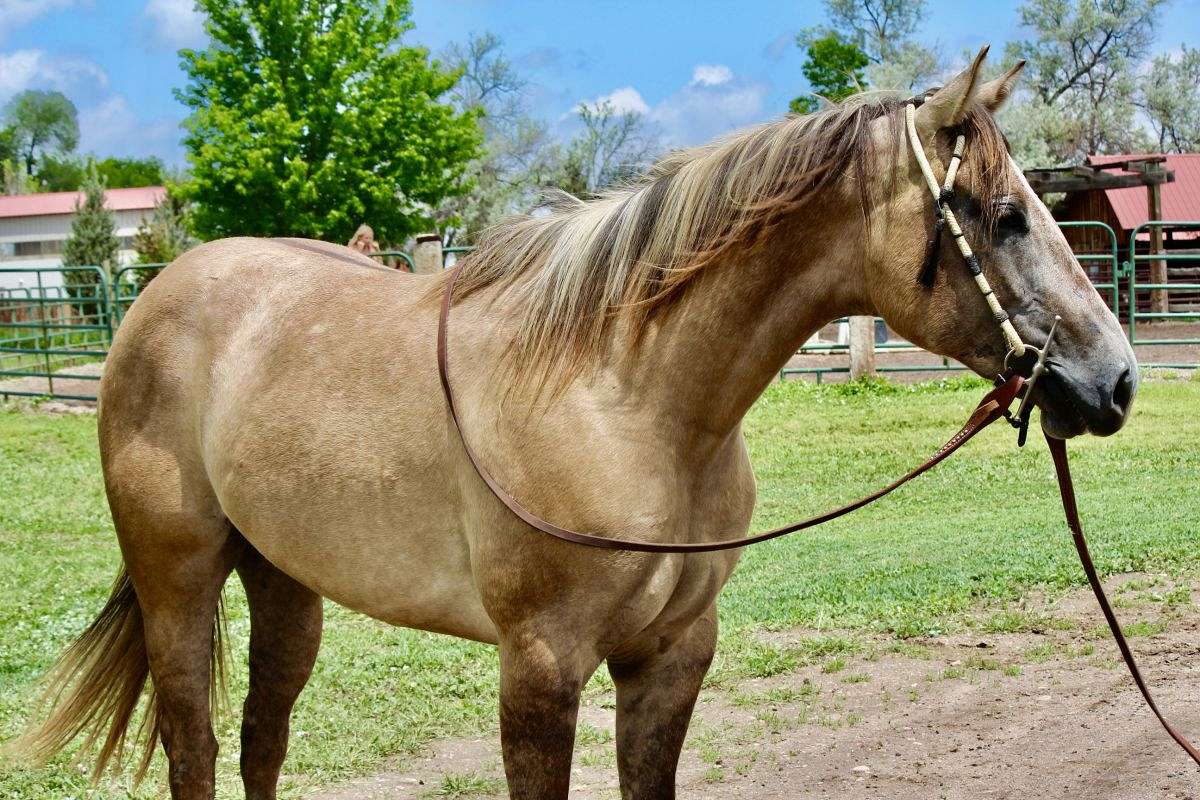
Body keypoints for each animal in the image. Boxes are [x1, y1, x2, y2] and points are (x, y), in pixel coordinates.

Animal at [18, 48, 1136, 799]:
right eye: (1003, 216)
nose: (1116, 379)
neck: (626, 397)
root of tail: (163, 294)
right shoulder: (542, 668)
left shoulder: (672, 656)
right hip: (179, 577)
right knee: (198, 743)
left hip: (285, 580)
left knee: (262, 734)